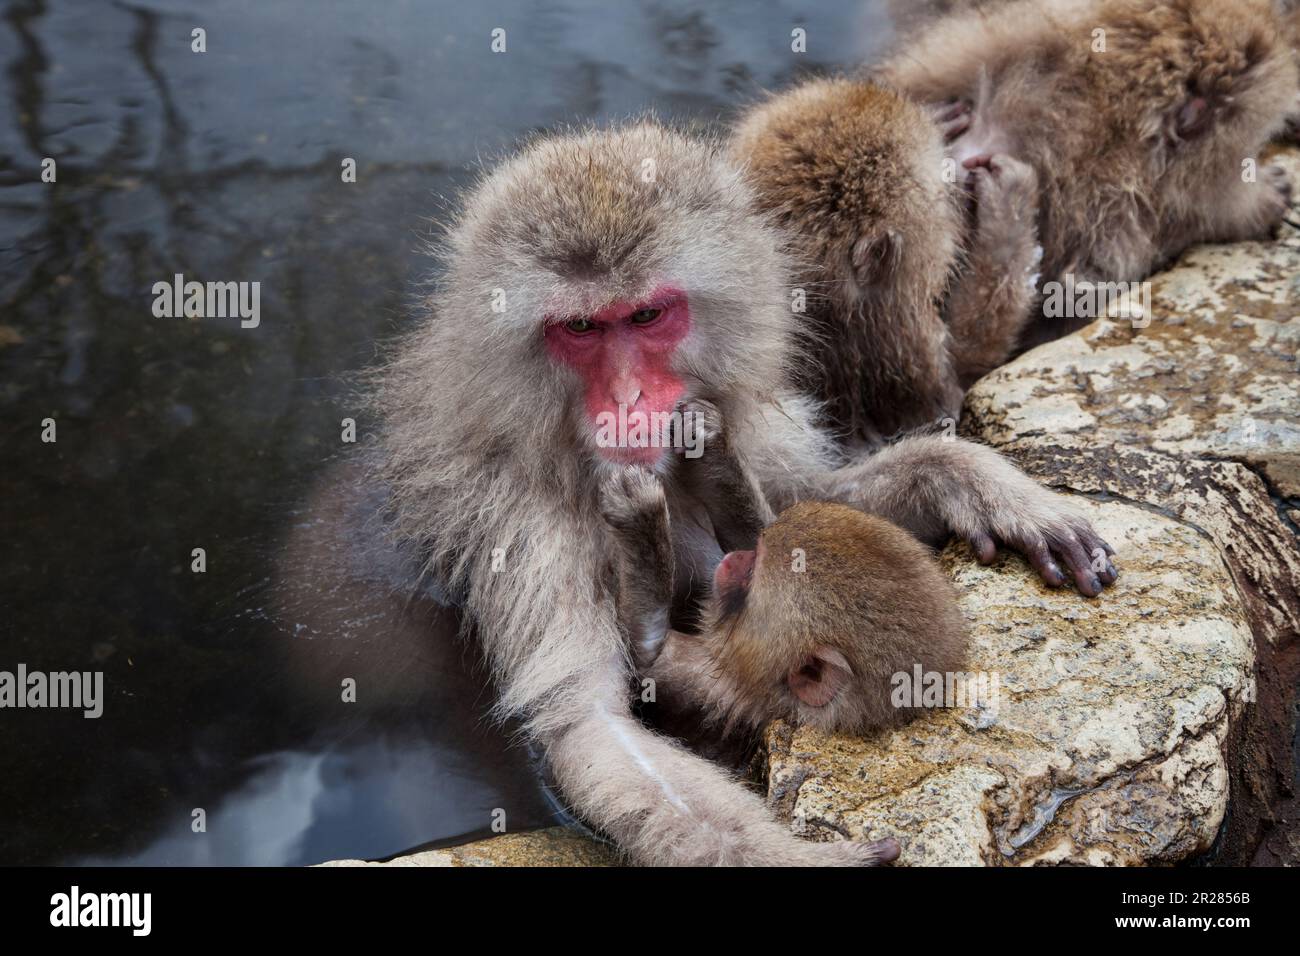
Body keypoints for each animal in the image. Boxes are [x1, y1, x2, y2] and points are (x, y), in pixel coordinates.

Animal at [371, 121, 1116, 866]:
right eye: (580, 328)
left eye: (647, 315)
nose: (628, 401)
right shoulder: (523, 522)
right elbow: (589, 724)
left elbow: (804, 508)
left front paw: (980, 483)